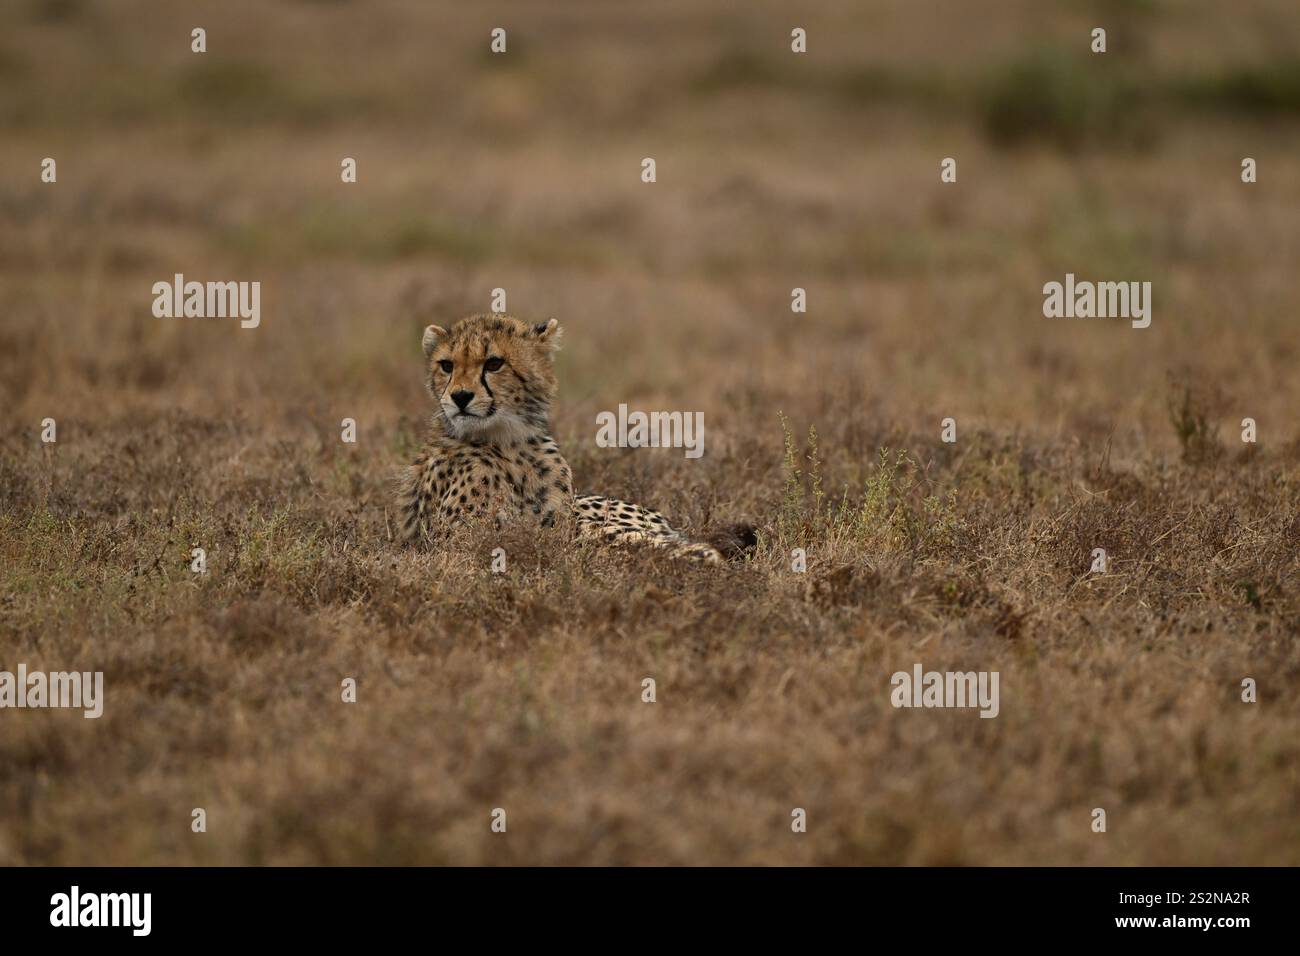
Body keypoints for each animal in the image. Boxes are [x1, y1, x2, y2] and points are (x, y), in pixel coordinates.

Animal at [397, 313, 755, 563]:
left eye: (494, 363)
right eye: (446, 365)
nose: (459, 397)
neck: (510, 442)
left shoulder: (558, 523)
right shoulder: (457, 540)